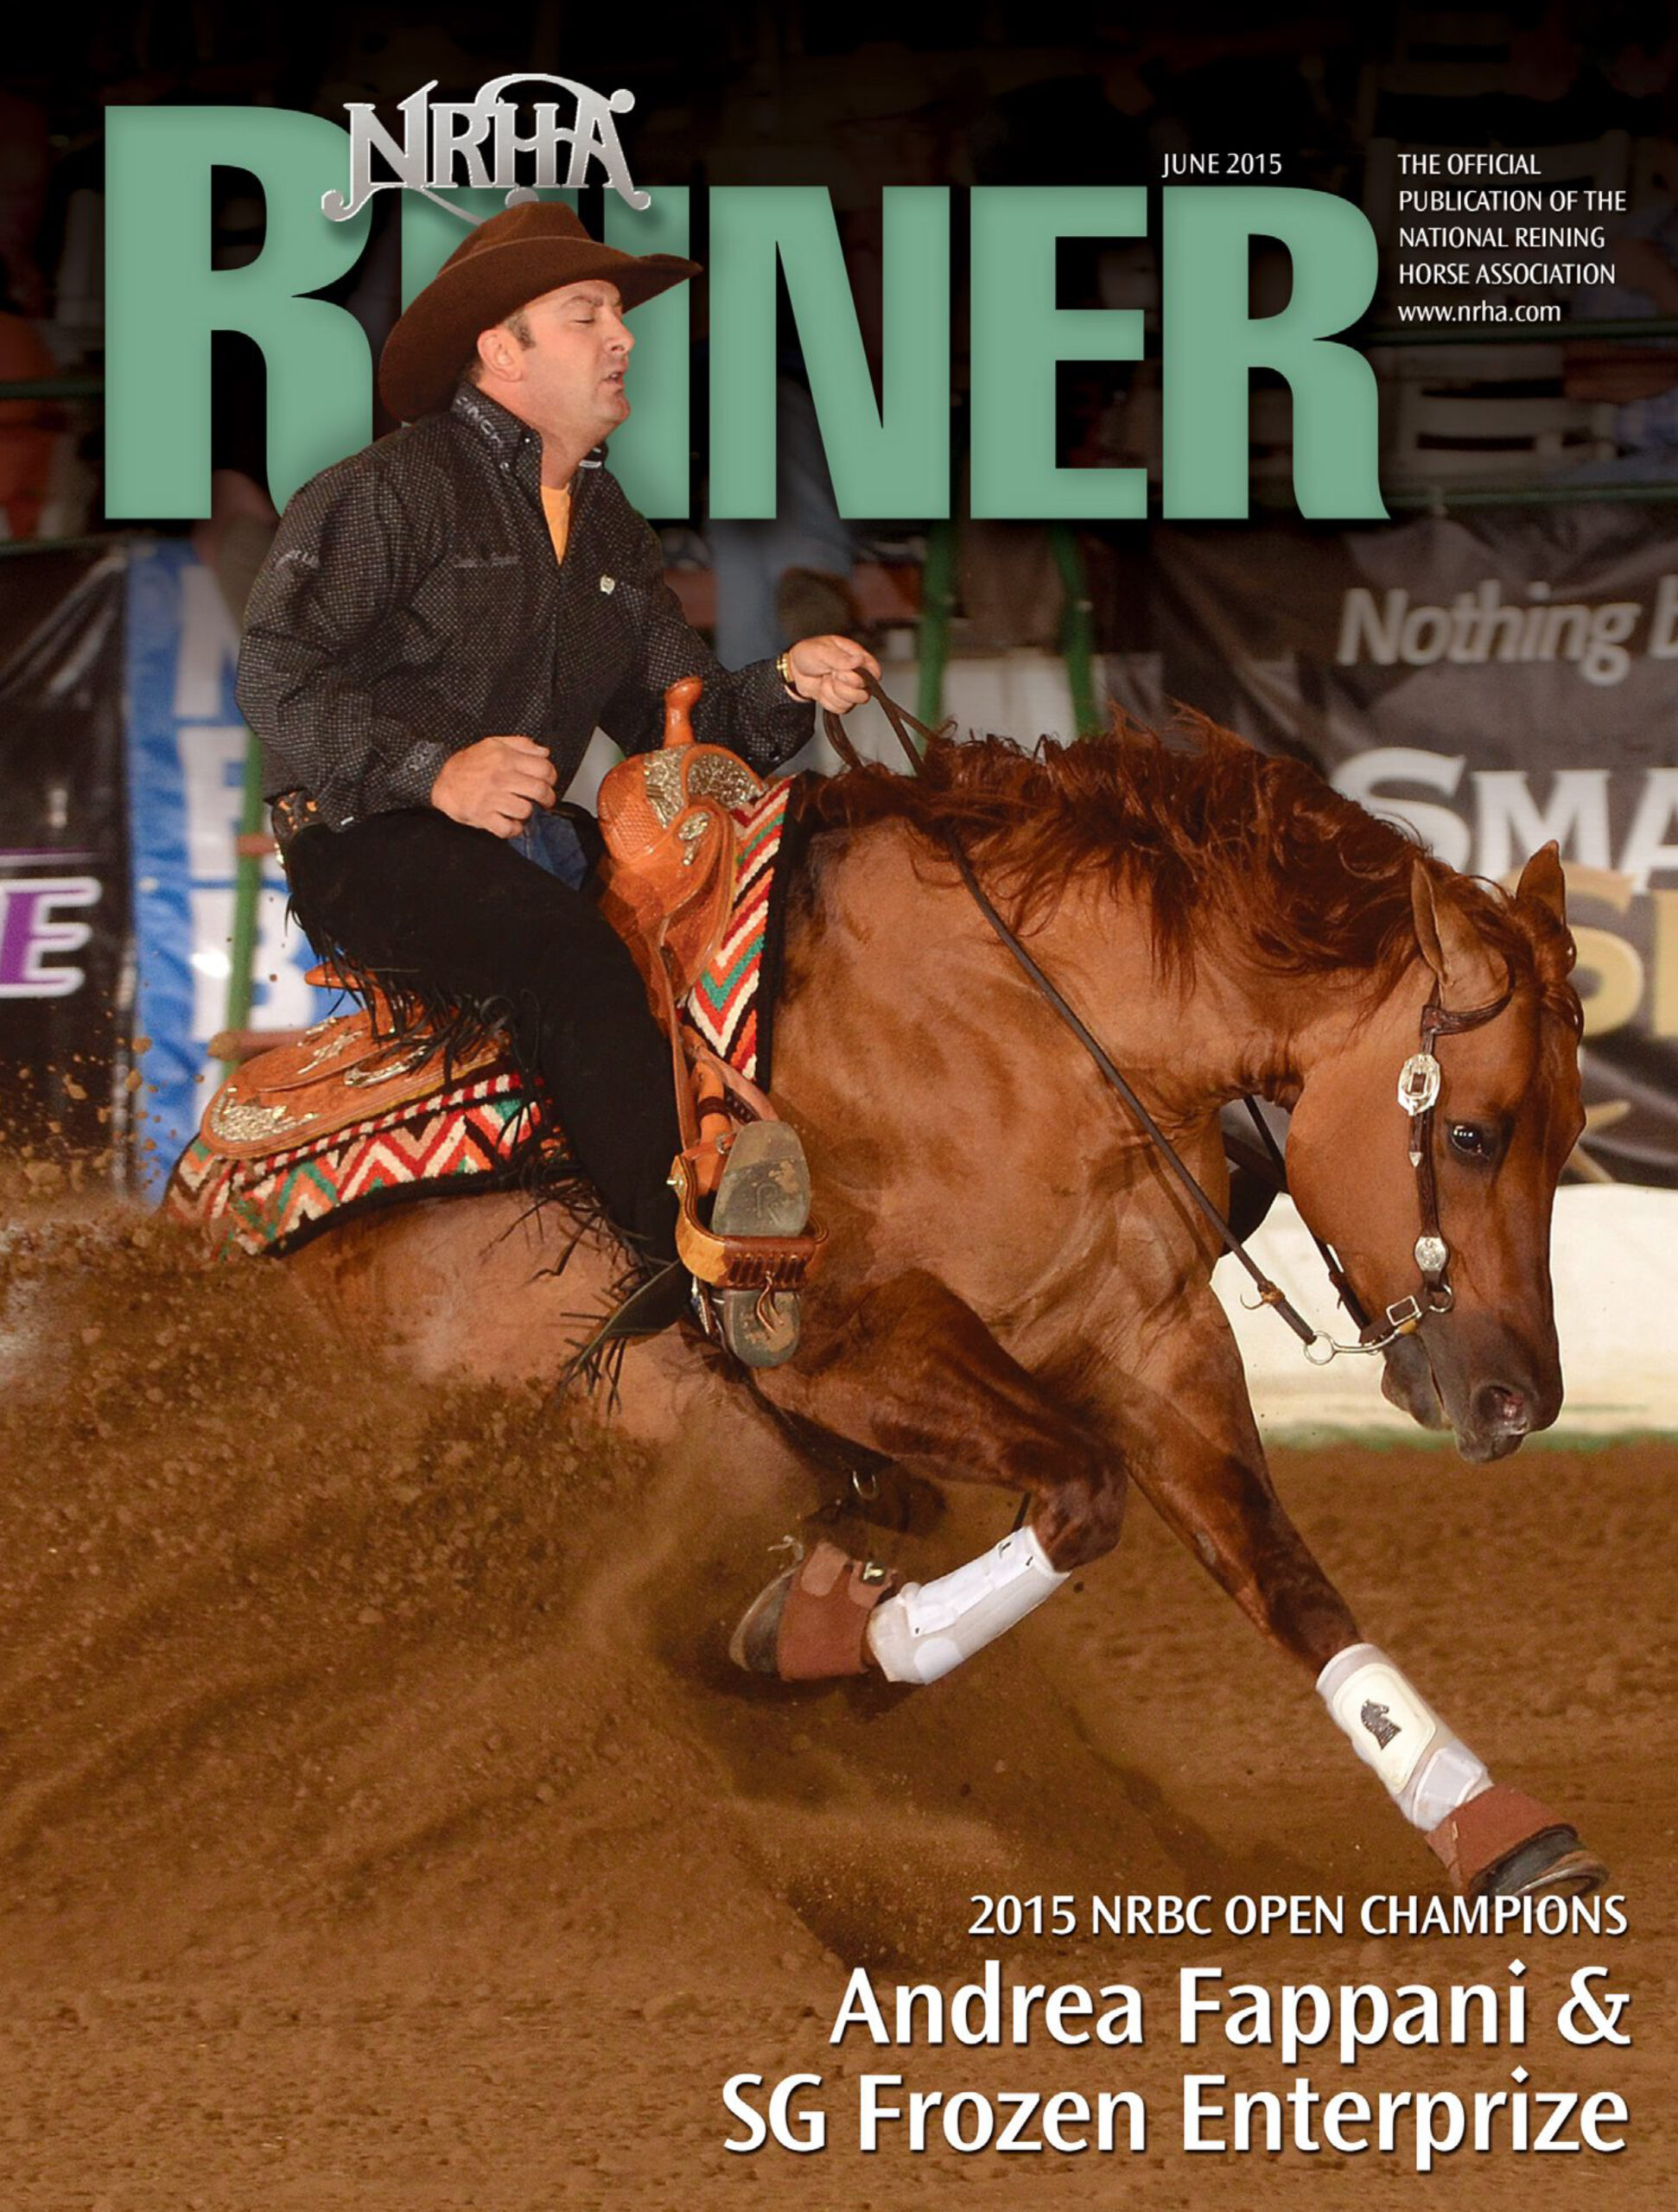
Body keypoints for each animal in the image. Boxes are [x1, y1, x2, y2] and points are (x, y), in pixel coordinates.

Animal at [270, 716, 1600, 1904]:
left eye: (1571, 1130)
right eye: (1471, 1134)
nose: (1519, 1401)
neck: (1030, 1036)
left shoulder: (1152, 1341)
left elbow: (1286, 1577)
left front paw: (1487, 1818)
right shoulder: (848, 1348)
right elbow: (1080, 1494)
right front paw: (828, 1636)